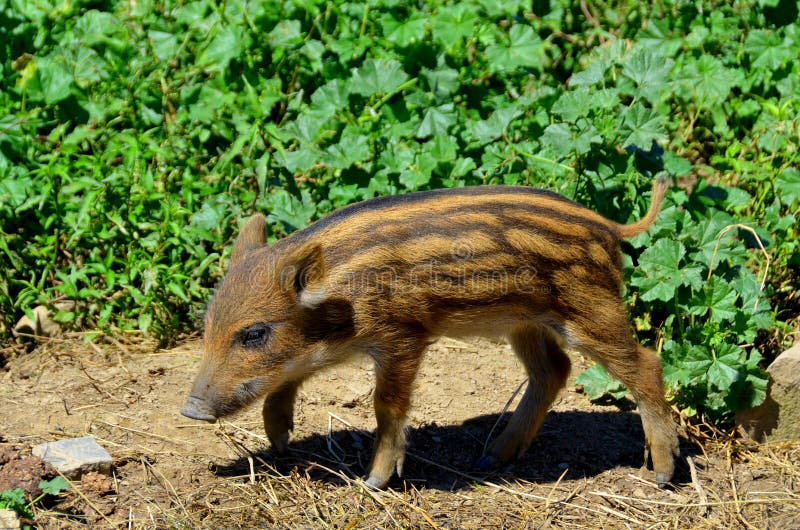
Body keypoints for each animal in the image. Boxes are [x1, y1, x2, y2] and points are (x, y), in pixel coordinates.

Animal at [181, 179, 679, 489]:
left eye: (254, 334)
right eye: (207, 327)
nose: (190, 409)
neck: (341, 301)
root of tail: (611, 227)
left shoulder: (403, 333)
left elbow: (386, 404)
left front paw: (373, 481)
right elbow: (288, 377)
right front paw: (280, 441)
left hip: (589, 307)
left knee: (645, 365)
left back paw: (661, 474)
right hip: (525, 322)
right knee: (554, 370)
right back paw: (491, 458)